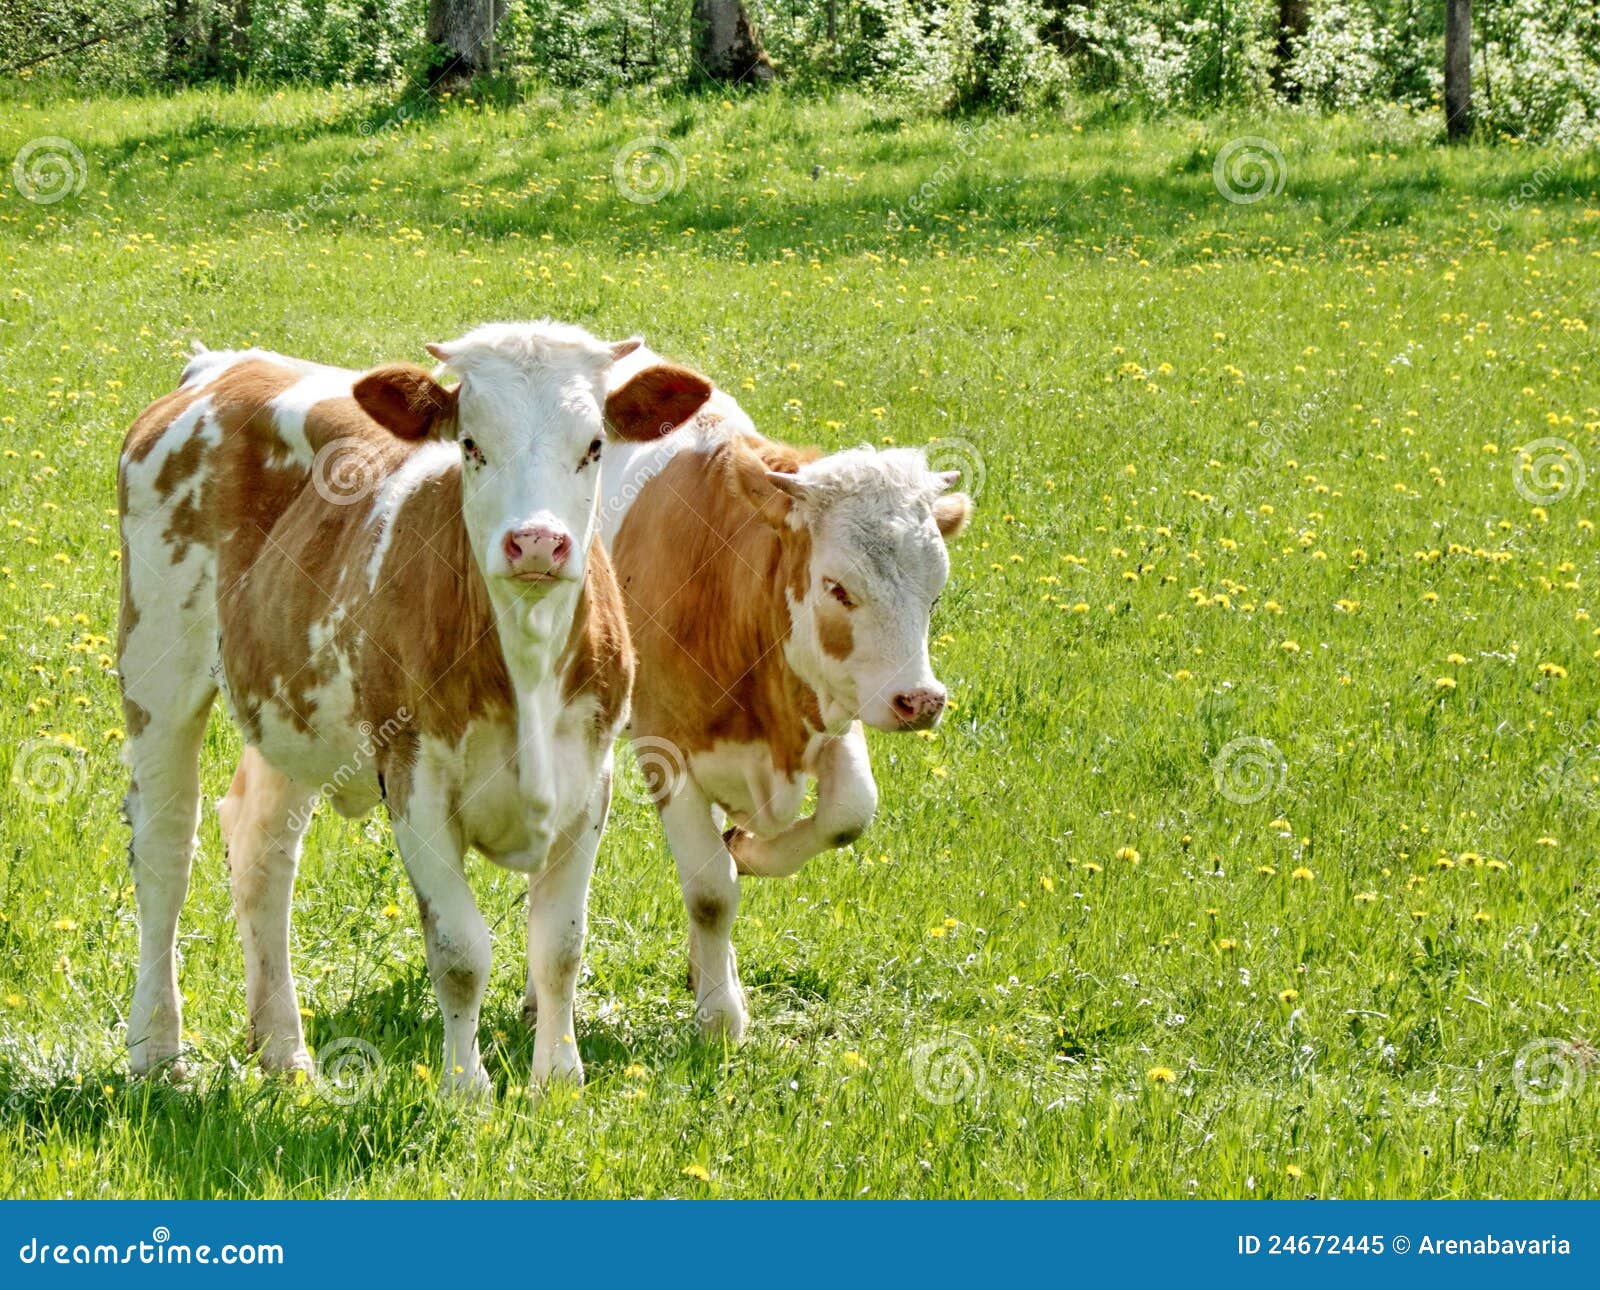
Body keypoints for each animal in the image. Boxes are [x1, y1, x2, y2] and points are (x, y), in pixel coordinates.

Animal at [116, 322, 713, 1092]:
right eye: (471, 445)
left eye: (593, 446)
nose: (537, 542)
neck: (526, 662)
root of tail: (224, 367)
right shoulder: (414, 780)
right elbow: (461, 952)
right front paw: (466, 1090)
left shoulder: (591, 780)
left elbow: (560, 947)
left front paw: (557, 1082)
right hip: (156, 667)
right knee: (165, 851)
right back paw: (157, 1051)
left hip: (293, 705)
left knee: (262, 849)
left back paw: (283, 1051)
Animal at [599, 346, 973, 1042]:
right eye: (837, 588)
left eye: (935, 593)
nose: (920, 700)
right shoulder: (666, 746)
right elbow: (710, 890)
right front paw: (721, 1017)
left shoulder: (830, 706)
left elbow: (849, 813)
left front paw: (749, 854)